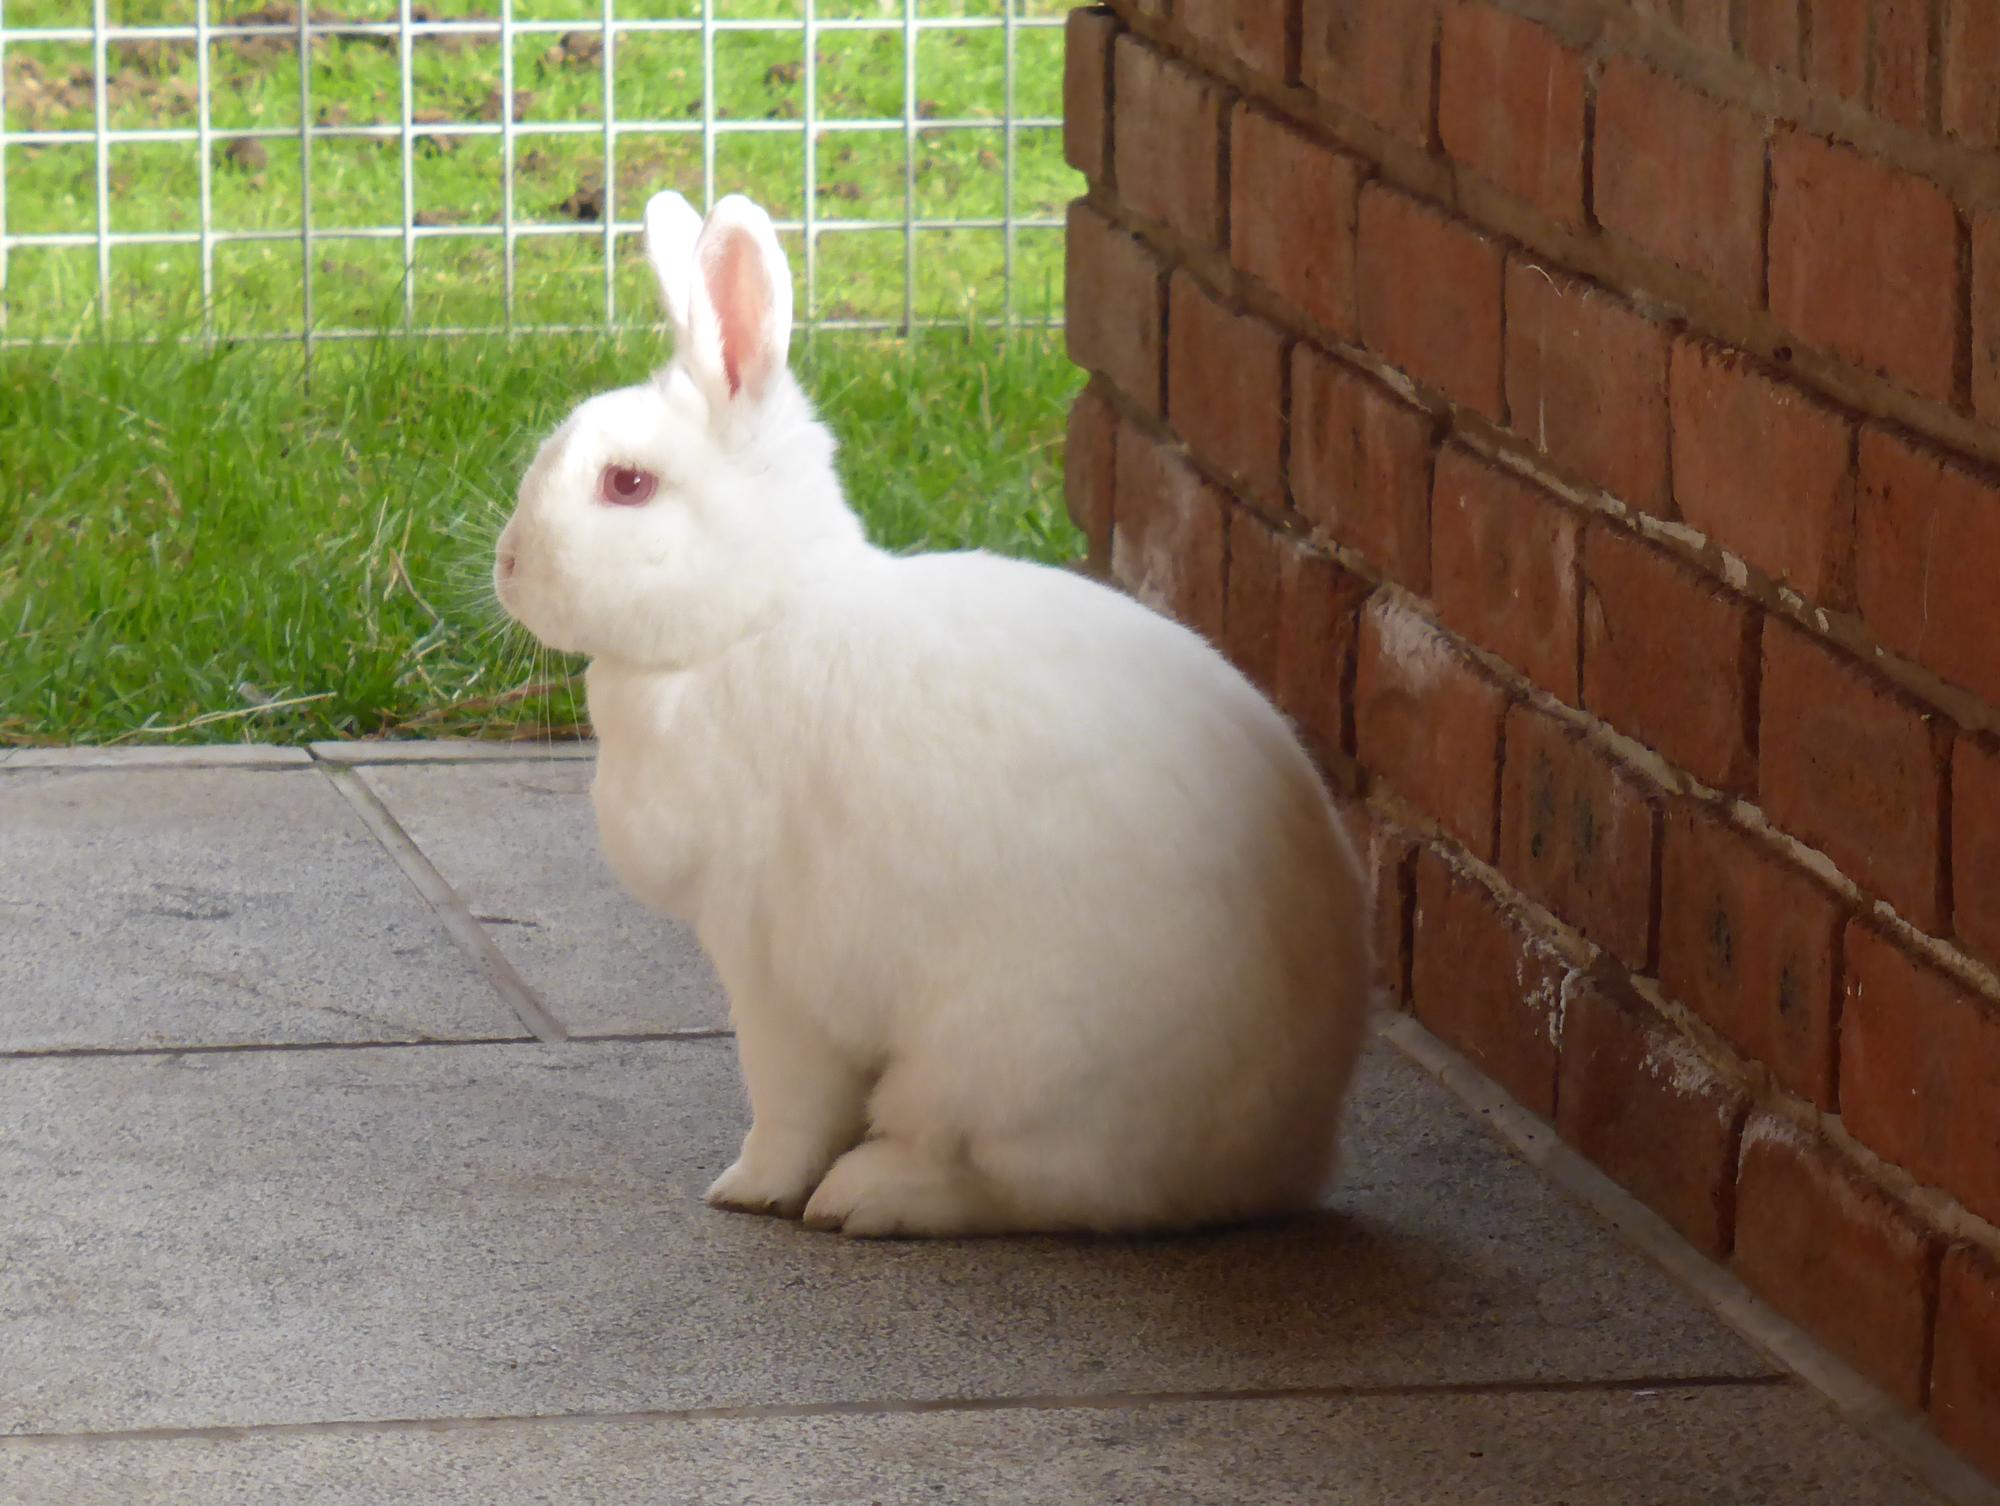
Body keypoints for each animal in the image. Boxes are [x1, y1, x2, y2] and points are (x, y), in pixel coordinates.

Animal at [493, 189, 1373, 1238]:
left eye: (627, 485)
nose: (507, 569)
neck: (753, 618)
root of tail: (1286, 1159)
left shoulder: (769, 965)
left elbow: (789, 1102)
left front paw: (748, 1187)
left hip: (996, 1061)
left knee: (1023, 1184)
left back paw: (868, 1197)